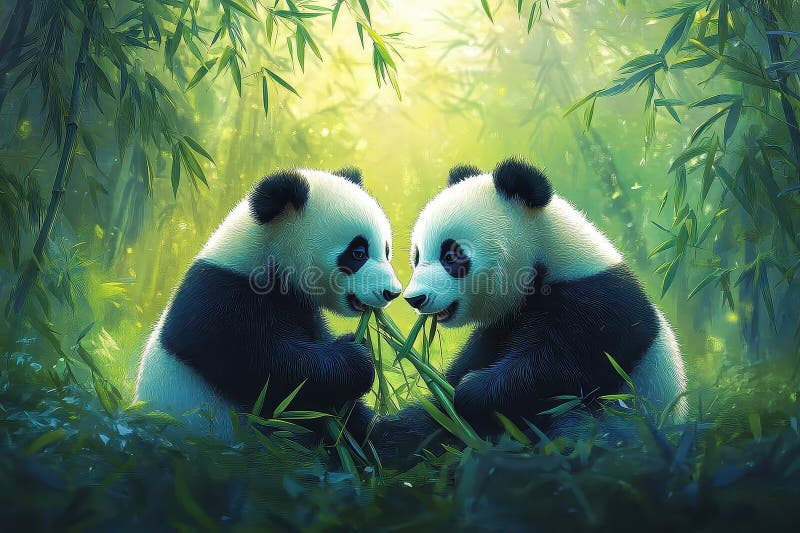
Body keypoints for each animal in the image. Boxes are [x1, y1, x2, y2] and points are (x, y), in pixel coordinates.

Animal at [134, 167, 402, 441]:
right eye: (358, 253)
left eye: (386, 251)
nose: (391, 292)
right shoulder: (219, 300)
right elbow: (268, 365)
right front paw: (357, 358)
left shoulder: (303, 311)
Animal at [372, 156, 687, 462]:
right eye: (417, 256)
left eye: (451, 255)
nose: (415, 298)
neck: (546, 260)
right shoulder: (500, 326)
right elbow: (440, 406)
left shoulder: (598, 305)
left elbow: (557, 368)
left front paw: (472, 388)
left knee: (579, 431)